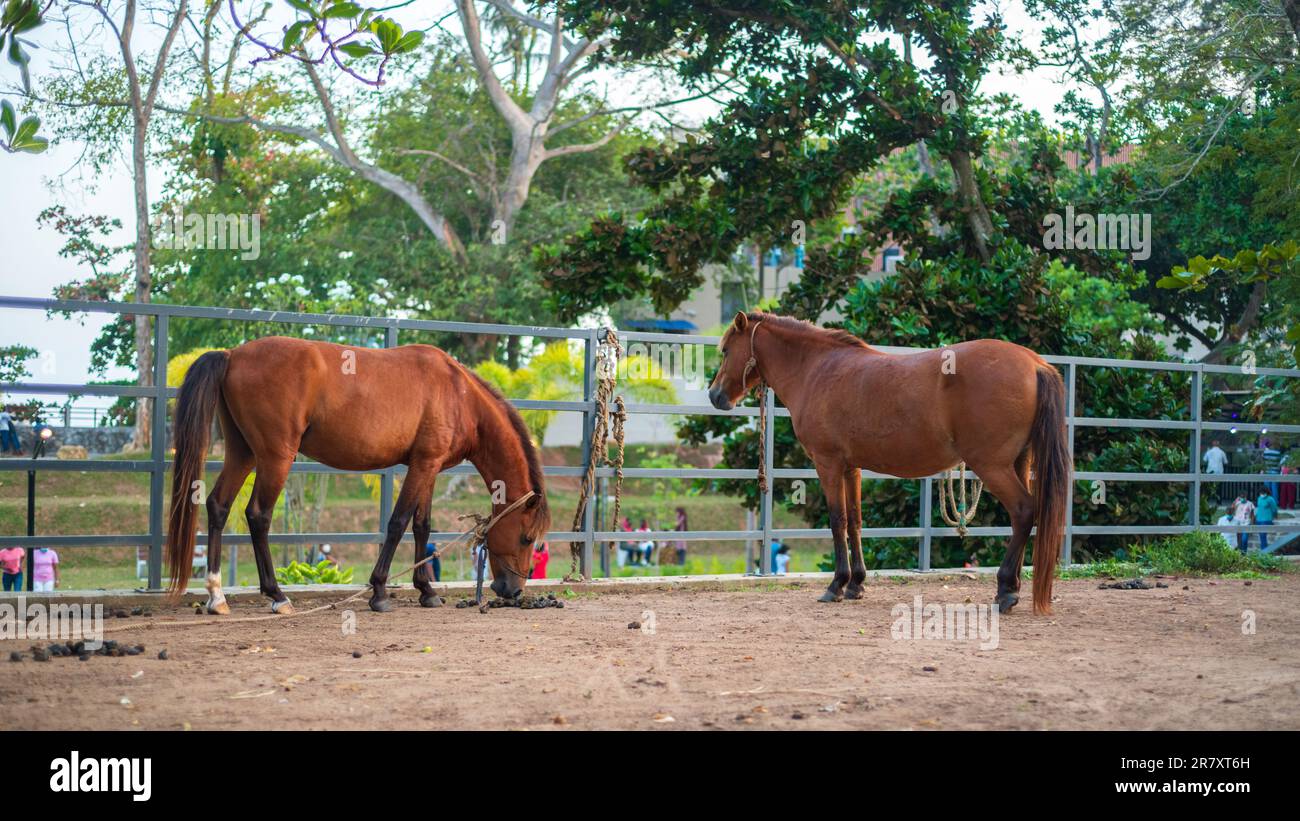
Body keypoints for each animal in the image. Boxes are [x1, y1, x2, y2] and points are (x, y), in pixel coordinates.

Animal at [166, 336, 550, 614]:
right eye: (526, 538)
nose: (513, 590)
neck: (460, 394)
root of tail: (232, 355)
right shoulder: (422, 466)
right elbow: (397, 524)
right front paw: (378, 591)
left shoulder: (429, 466)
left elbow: (421, 525)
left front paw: (426, 590)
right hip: (275, 458)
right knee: (257, 516)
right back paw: (277, 595)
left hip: (242, 452)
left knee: (219, 506)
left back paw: (217, 596)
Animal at [707, 312, 1070, 614]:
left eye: (725, 350)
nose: (714, 395)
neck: (817, 369)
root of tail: (1034, 363)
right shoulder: (850, 468)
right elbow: (854, 522)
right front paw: (856, 584)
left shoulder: (828, 464)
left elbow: (837, 520)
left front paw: (836, 585)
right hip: (1019, 462)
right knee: (1022, 518)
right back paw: (1010, 588)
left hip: (992, 466)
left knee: (1023, 510)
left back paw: (1005, 590)